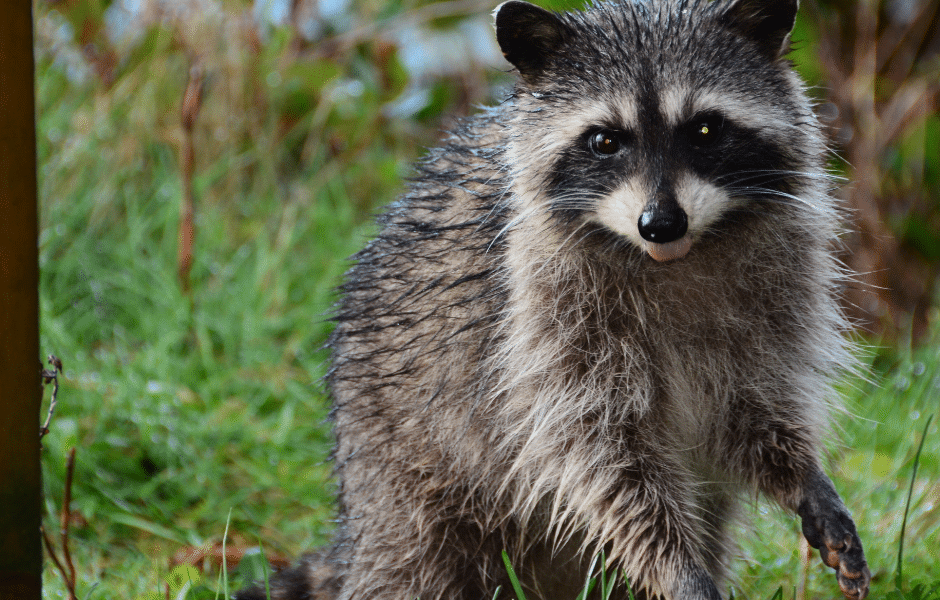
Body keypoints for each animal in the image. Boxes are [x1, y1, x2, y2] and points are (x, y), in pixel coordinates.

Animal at [237, 0, 871, 598]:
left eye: (705, 130)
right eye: (604, 140)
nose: (660, 223)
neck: (672, 259)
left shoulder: (778, 289)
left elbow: (755, 409)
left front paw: (803, 476)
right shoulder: (542, 320)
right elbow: (601, 455)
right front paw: (677, 568)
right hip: (398, 466)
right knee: (417, 562)